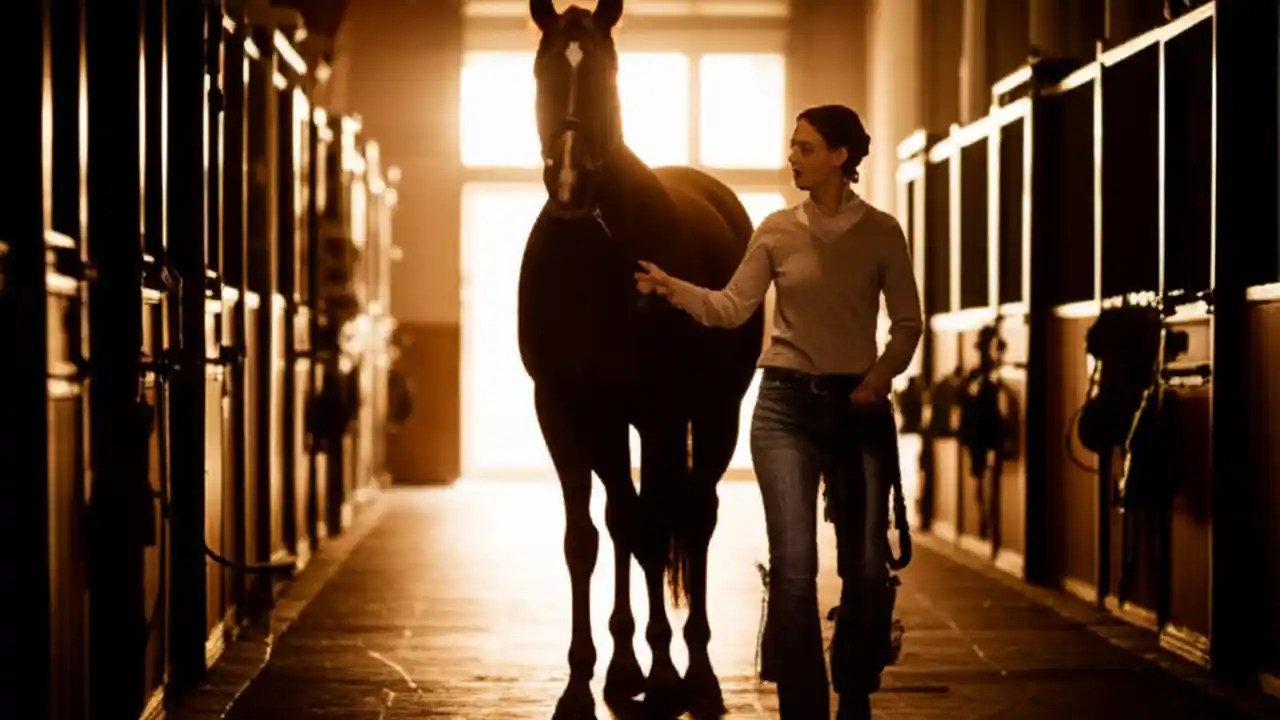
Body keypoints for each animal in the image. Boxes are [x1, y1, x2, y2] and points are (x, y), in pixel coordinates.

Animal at [516, 0, 764, 716]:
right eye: (542, 71)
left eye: (606, 72)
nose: (571, 183)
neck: (594, 258)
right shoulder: (566, 409)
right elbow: (590, 537)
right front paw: (586, 681)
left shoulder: (657, 412)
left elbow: (657, 527)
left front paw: (665, 677)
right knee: (627, 518)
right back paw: (629, 669)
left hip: (712, 414)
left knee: (694, 515)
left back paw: (696, 675)